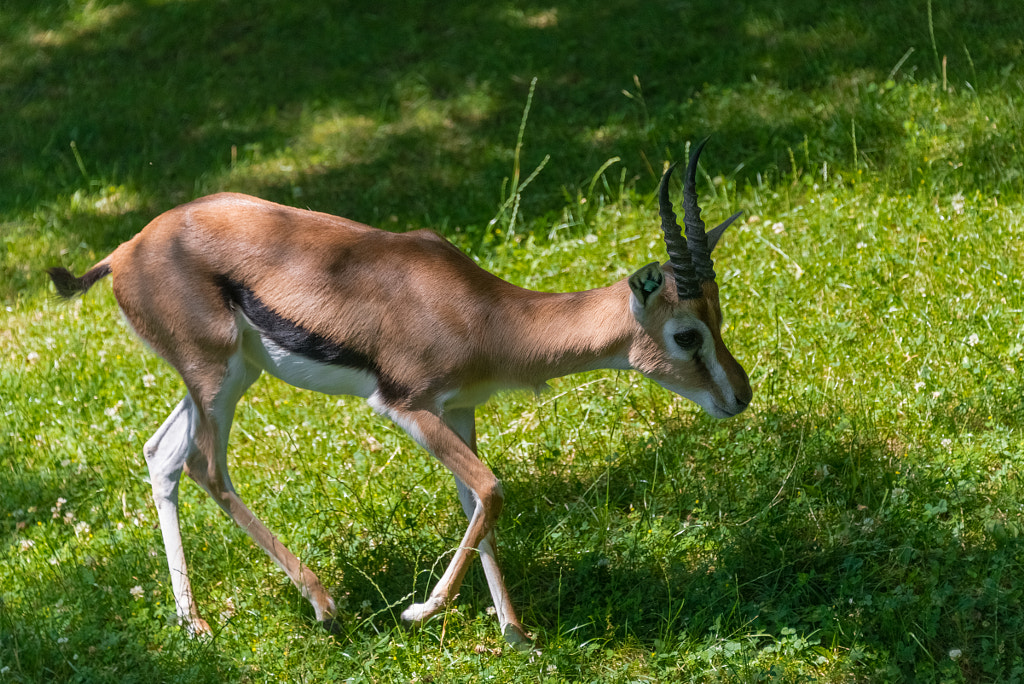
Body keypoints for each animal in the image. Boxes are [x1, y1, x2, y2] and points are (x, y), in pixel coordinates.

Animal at [48, 139, 751, 648]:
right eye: (686, 334)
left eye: (719, 317)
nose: (740, 396)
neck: (482, 313)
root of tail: (126, 250)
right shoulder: (408, 408)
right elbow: (493, 489)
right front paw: (421, 612)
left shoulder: (460, 410)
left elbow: (476, 502)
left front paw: (517, 635)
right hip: (214, 374)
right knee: (204, 465)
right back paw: (325, 605)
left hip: (231, 374)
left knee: (161, 454)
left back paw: (194, 623)